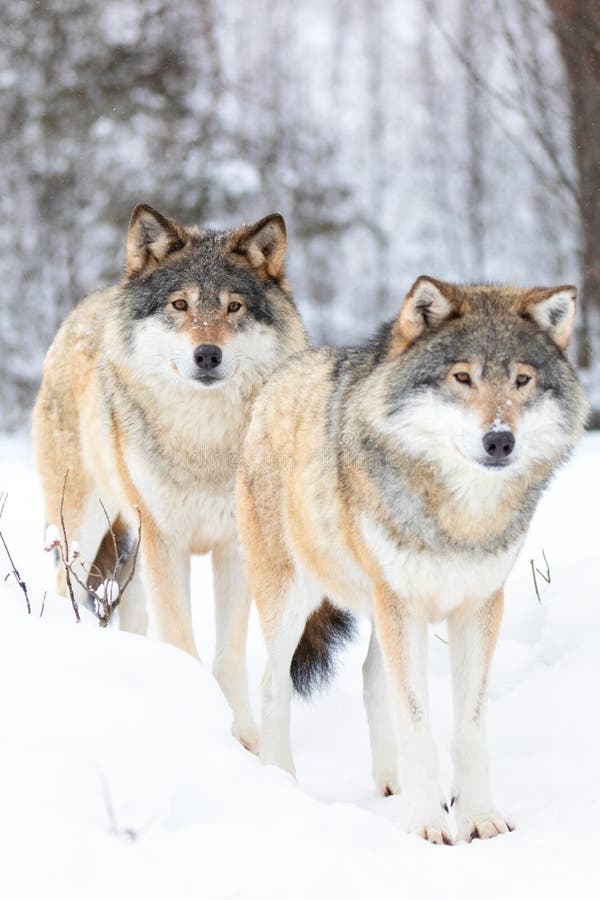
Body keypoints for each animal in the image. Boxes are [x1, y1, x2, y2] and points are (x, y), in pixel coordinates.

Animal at [33, 203, 306, 750]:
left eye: (234, 307)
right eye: (180, 305)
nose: (207, 355)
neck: (202, 444)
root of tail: (87, 306)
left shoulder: (235, 545)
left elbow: (226, 655)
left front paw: (243, 736)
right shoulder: (166, 540)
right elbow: (182, 640)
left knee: (134, 614)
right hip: (85, 528)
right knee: (64, 586)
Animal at [236, 276, 588, 841]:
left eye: (522, 379)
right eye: (462, 377)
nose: (499, 440)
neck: (458, 518)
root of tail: (281, 374)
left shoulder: (477, 607)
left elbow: (468, 727)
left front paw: (479, 819)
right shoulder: (401, 604)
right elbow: (419, 725)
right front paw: (426, 826)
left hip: (382, 612)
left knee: (371, 678)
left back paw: (393, 784)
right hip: (295, 599)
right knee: (274, 682)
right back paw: (281, 781)